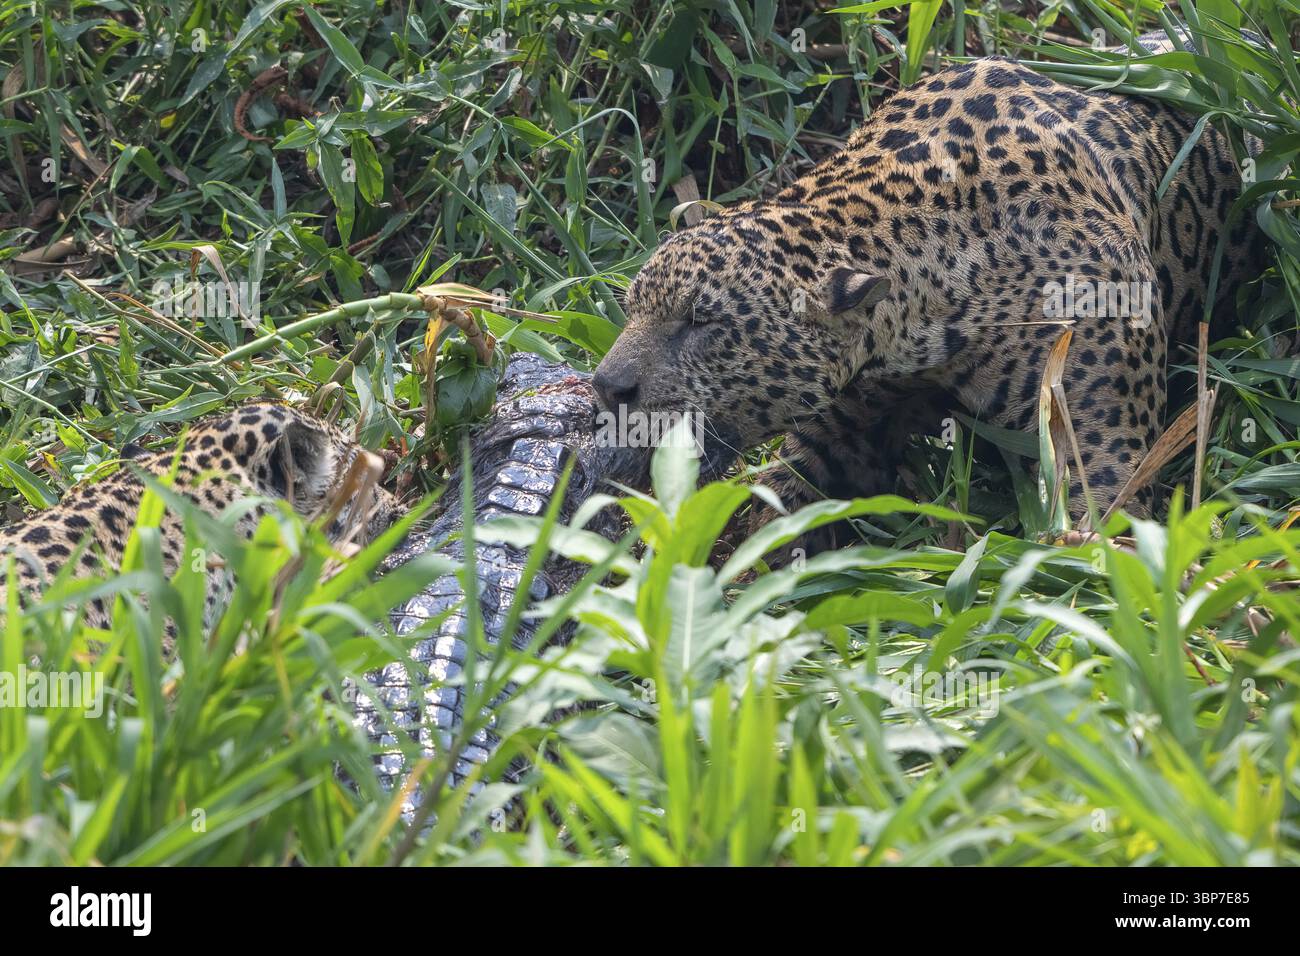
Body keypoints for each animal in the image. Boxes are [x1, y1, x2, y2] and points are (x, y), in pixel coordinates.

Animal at [593, 54, 1264, 552]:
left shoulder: (1103, 456)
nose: (606, 386)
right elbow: (780, 512)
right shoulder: (839, 434)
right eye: (632, 308)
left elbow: (1097, 538)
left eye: (702, 321)